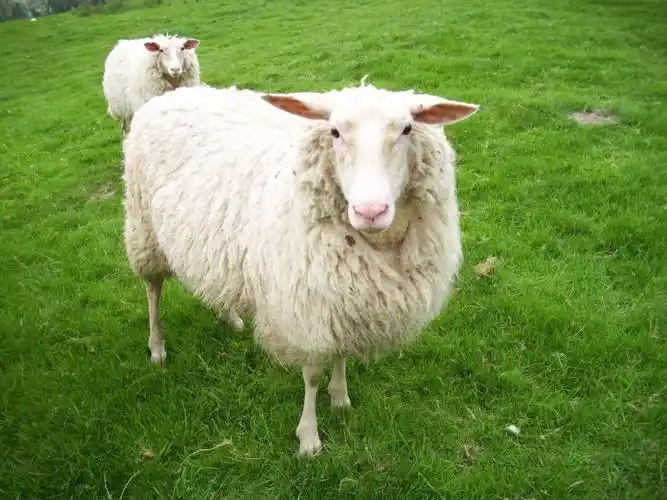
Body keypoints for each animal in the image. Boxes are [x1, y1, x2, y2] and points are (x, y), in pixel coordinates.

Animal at [122, 81, 479, 456]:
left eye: (407, 129)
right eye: (335, 132)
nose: (370, 211)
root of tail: (172, 94)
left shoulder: (344, 299)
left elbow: (341, 353)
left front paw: (340, 397)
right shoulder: (306, 307)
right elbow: (311, 375)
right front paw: (309, 437)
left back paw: (230, 316)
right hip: (143, 228)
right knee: (153, 289)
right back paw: (157, 346)